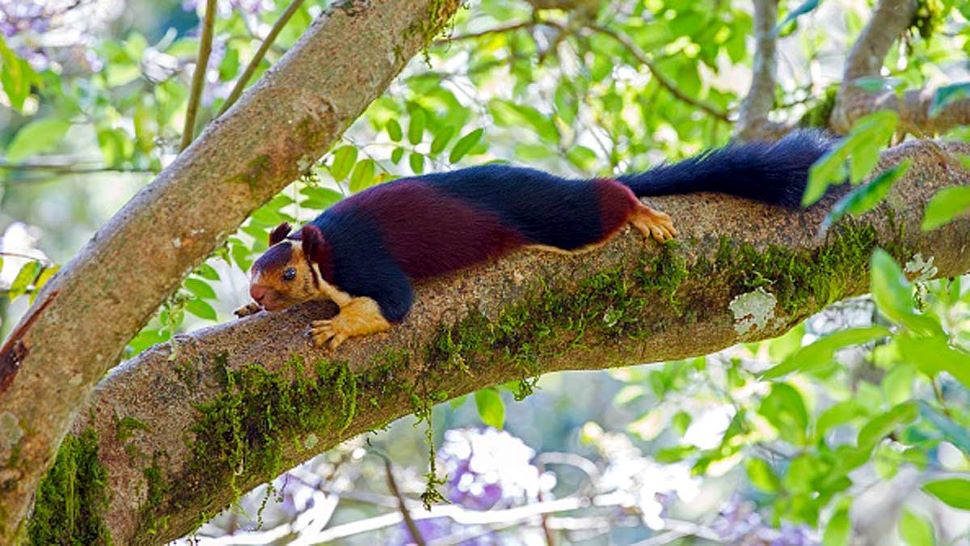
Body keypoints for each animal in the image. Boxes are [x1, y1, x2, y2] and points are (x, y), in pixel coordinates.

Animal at [235, 129, 832, 349]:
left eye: (289, 273)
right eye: (253, 270)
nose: (259, 294)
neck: (324, 251)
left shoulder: (362, 263)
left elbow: (393, 305)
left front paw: (337, 326)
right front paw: (248, 312)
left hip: (553, 215)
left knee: (597, 202)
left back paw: (638, 209)